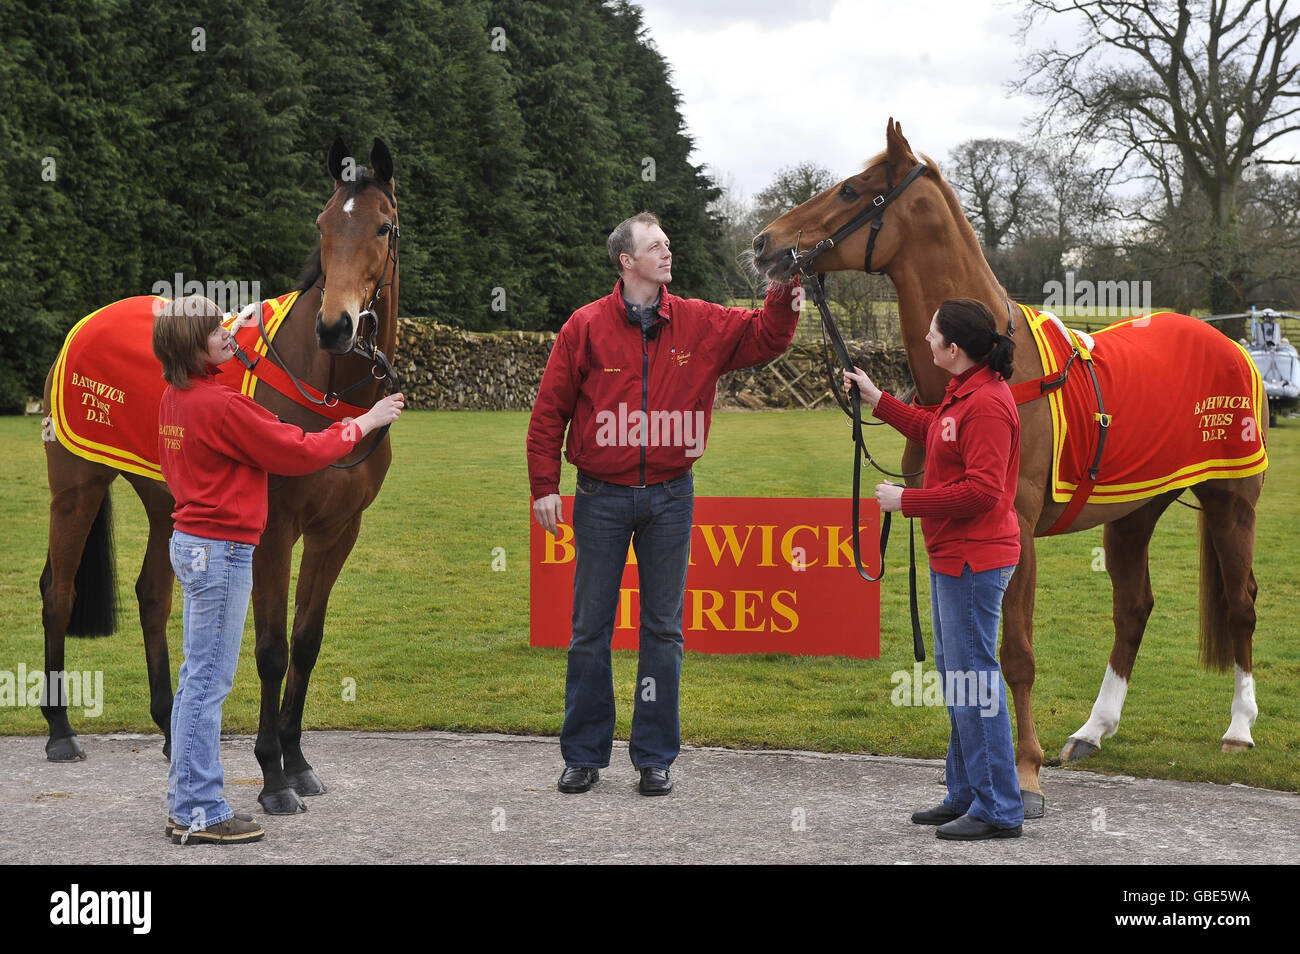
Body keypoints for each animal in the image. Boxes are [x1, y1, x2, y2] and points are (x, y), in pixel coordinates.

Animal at [751, 119, 1266, 817]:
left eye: (851, 188)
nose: (764, 244)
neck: (990, 363)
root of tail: (1233, 346)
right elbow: (960, 661)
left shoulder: (1016, 533)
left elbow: (1014, 654)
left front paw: (1025, 774)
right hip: (1134, 510)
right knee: (1133, 609)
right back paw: (1092, 731)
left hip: (1231, 502)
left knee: (1240, 605)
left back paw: (1238, 729)